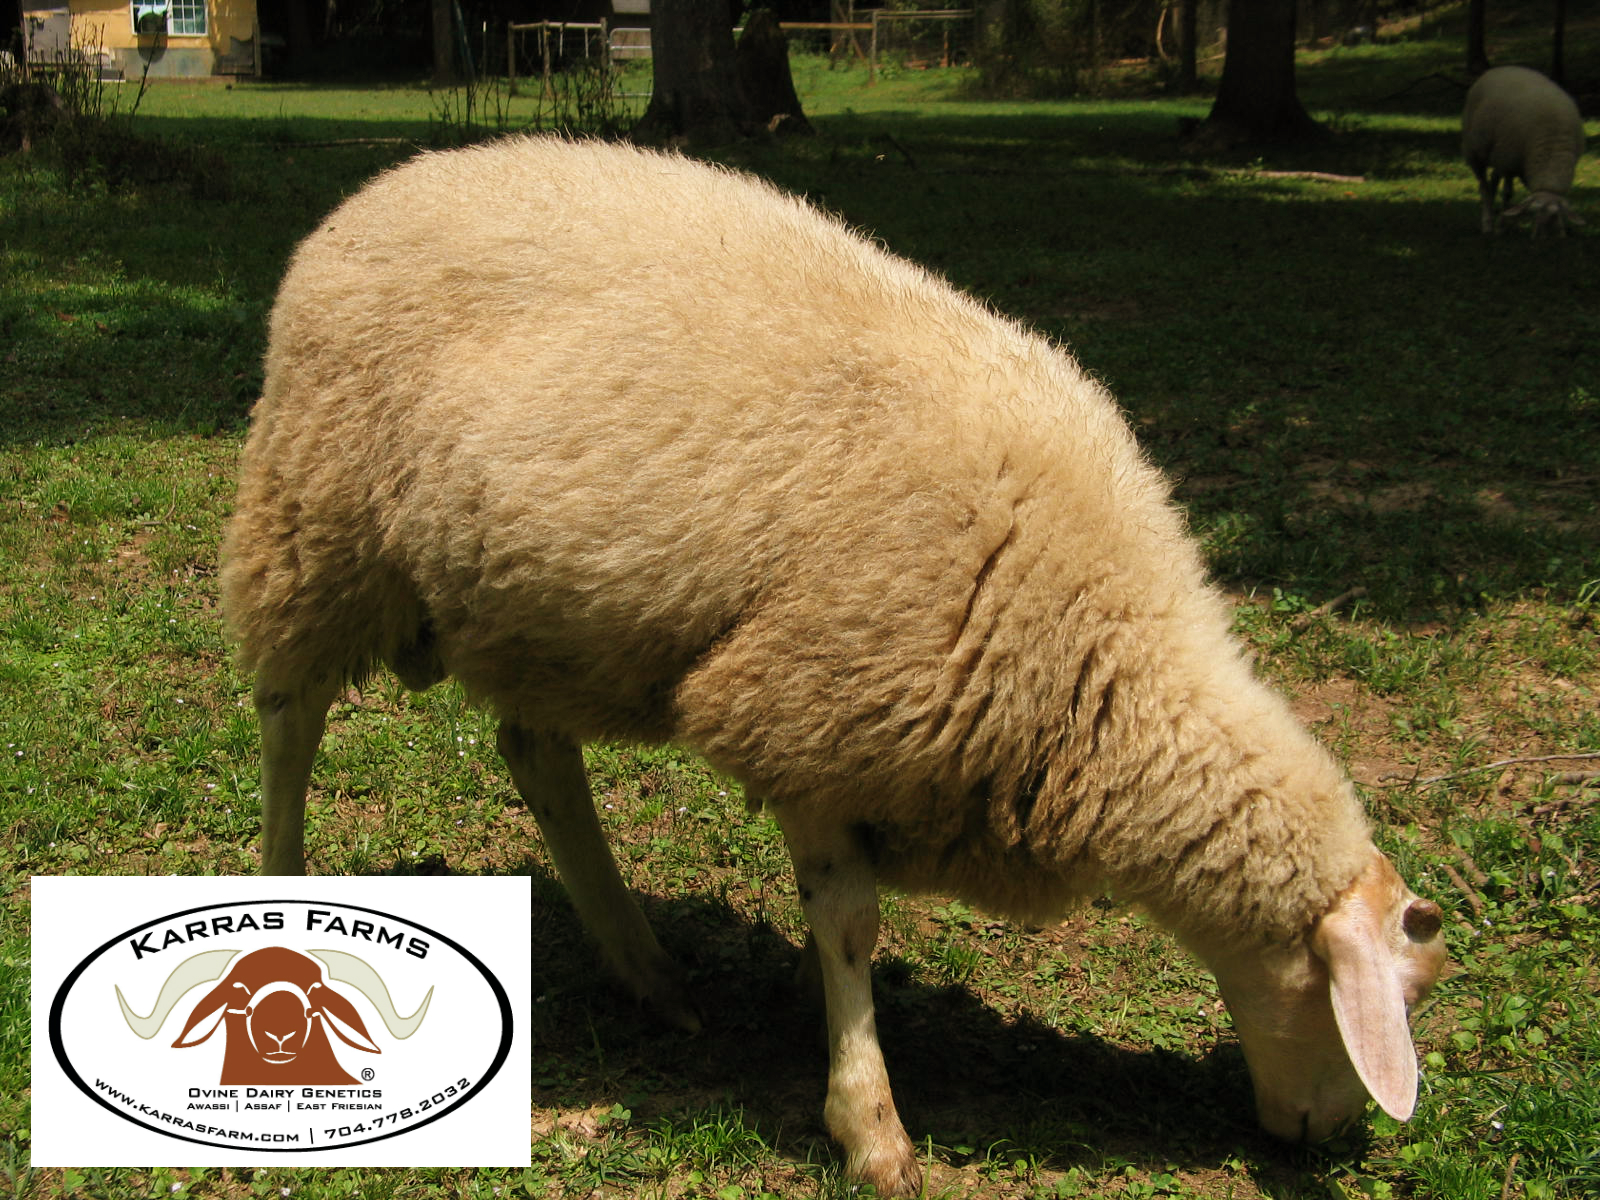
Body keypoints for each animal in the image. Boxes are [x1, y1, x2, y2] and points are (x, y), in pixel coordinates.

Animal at [221, 135, 1448, 1198]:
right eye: (1383, 1000)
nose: (1329, 1139)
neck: (1104, 663)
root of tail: (385, 185)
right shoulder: (813, 707)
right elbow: (851, 927)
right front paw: (872, 1129)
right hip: (317, 515)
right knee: (289, 719)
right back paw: (283, 883)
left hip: (536, 603)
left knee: (536, 757)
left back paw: (647, 970)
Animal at [1462, 65, 1586, 236]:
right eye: (1532, 213)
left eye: (1555, 215)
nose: (1540, 237)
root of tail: (1503, 67)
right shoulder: (1508, 161)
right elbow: (1508, 194)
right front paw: (1501, 226)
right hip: (1476, 152)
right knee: (1484, 186)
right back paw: (1487, 224)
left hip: (1497, 154)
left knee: (1493, 179)